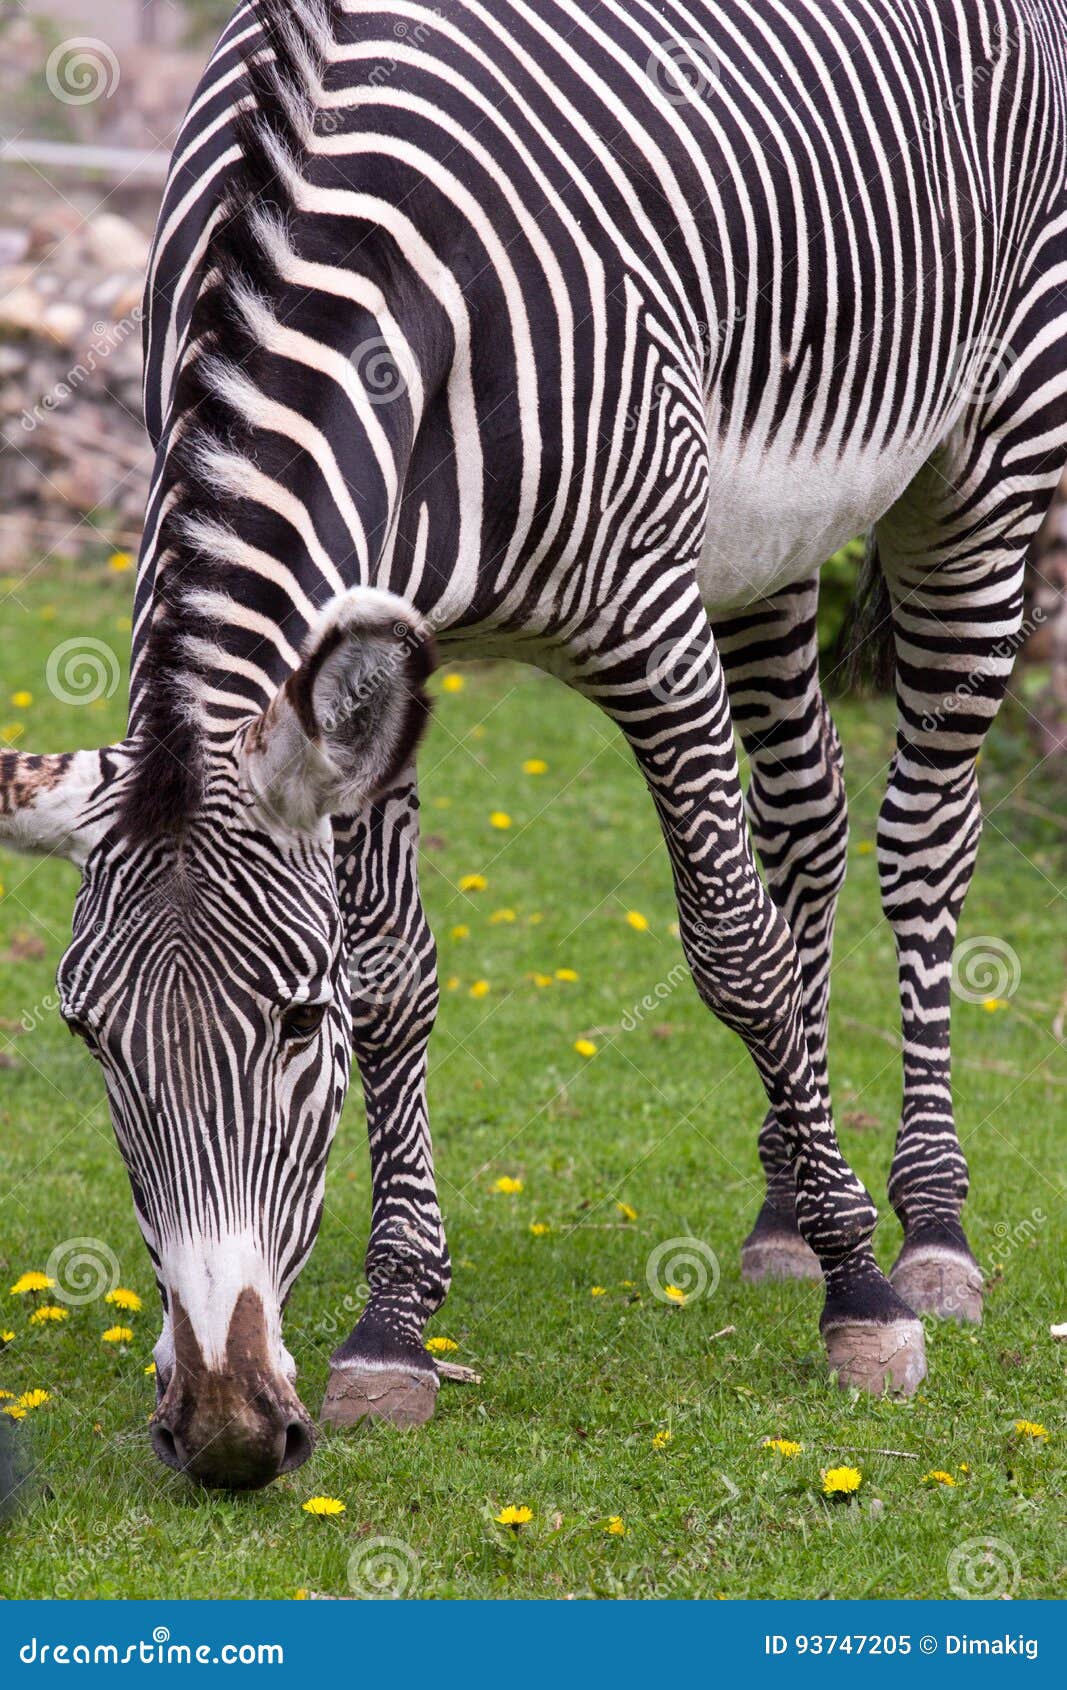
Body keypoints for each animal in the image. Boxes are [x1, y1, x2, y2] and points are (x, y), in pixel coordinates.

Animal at [2, 0, 1065, 1490]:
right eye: (88, 1036)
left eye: (294, 1023)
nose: (224, 1435)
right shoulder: (375, 655)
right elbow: (400, 974)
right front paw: (394, 1322)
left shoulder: (645, 625)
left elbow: (728, 953)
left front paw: (863, 1303)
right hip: (763, 542)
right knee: (807, 809)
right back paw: (783, 1210)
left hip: (986, 449)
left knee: (922, 834)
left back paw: (924, 1223)